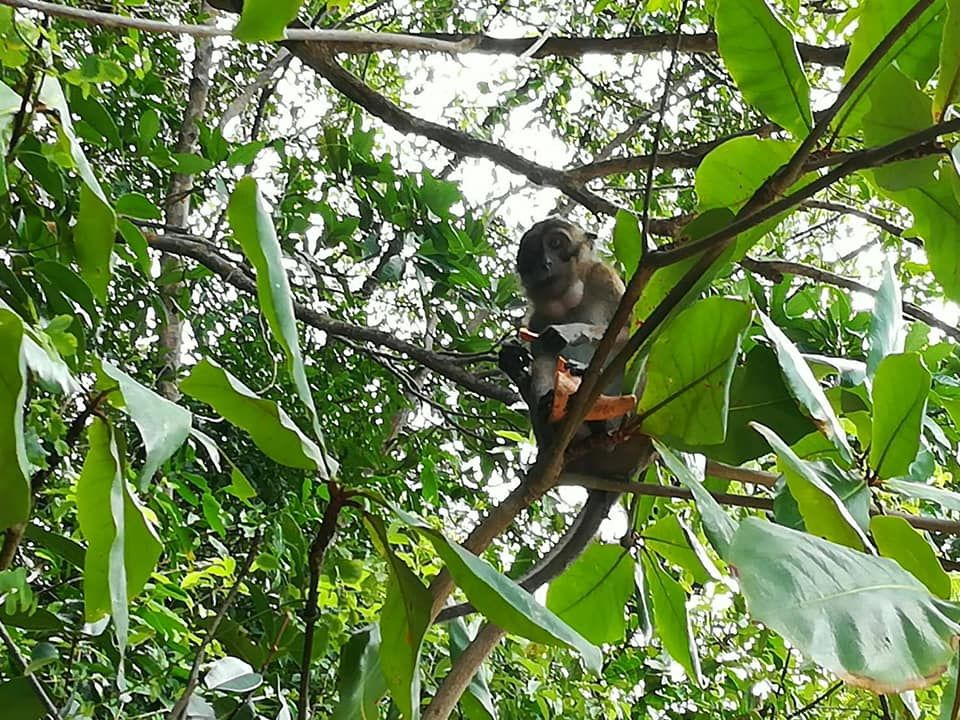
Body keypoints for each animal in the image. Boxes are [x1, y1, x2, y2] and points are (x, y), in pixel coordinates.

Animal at [436, 217, 652, 624]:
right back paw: (556, 422)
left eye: (556, 243)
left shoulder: (607, 280)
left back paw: (605, 421)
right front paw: (515, 362)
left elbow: (630, 333)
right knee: (547, 375)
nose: (545, 264)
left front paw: (572, 333)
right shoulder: (536, 318)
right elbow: (541, 354)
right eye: (533, 252)